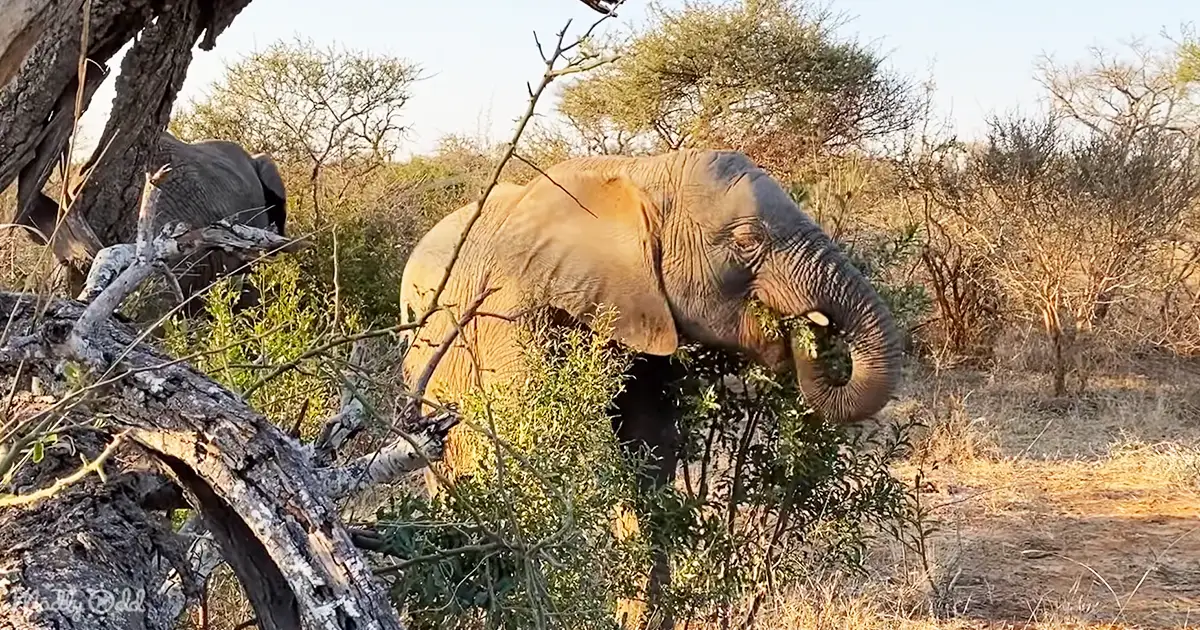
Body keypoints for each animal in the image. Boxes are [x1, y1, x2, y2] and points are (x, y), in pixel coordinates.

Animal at [398, 148, 902, 627]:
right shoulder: (510, 314)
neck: (644, 172)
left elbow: (649, 448)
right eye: (747, 241)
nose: (808, 331)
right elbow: (548, 449)